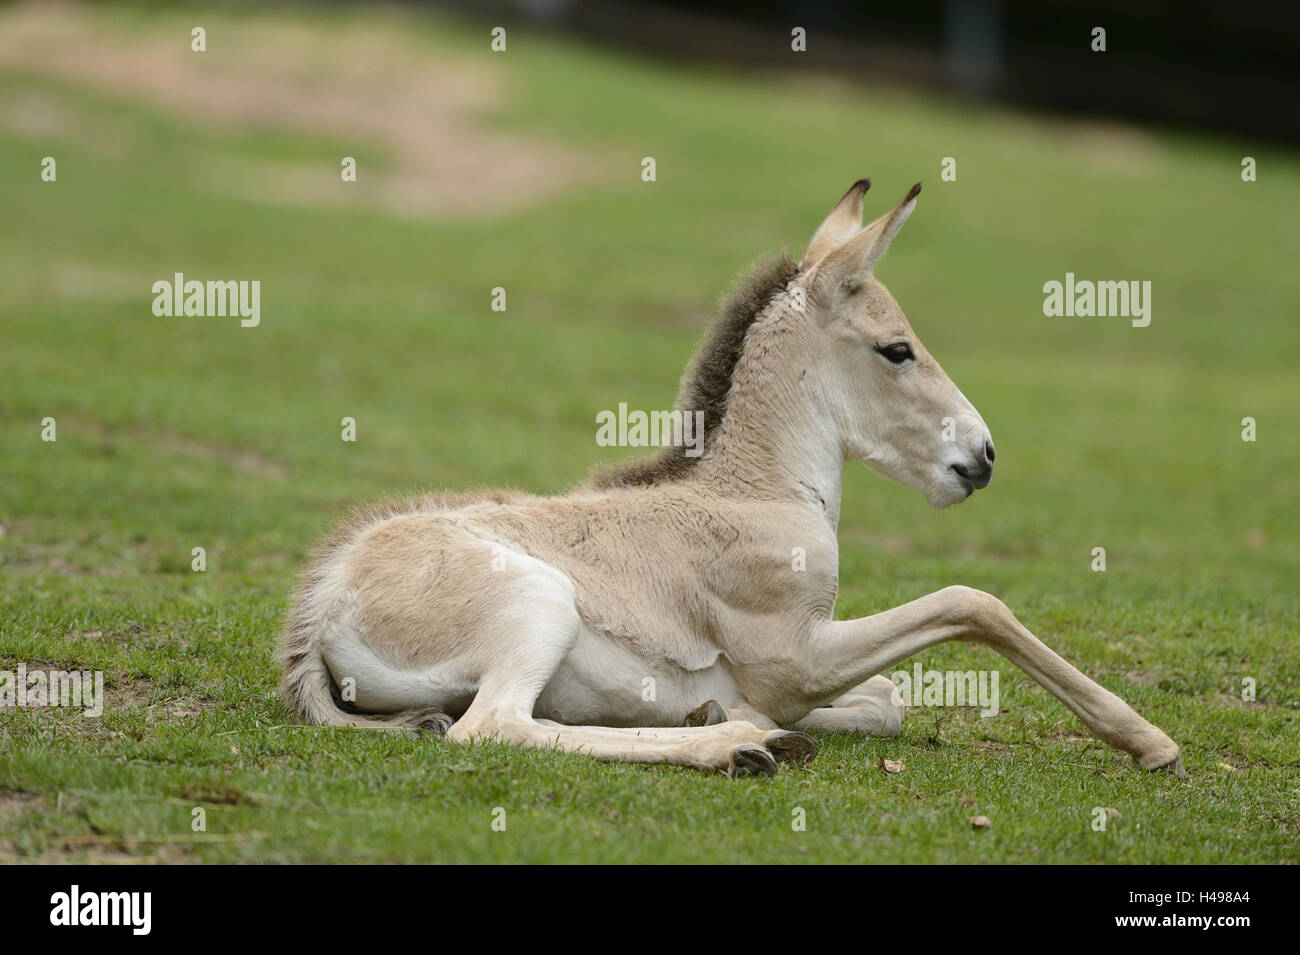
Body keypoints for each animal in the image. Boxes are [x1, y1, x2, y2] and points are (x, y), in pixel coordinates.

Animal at [279, 179, 1183, 778]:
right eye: (897, 348)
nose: (982, 454)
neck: (754, 494)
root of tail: (321, 602)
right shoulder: (801, 659)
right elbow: (974, 603)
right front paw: (1152, 743)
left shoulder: (807, 677)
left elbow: (889, 701)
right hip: (540, 606)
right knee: (494, 726)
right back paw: (735, 745)